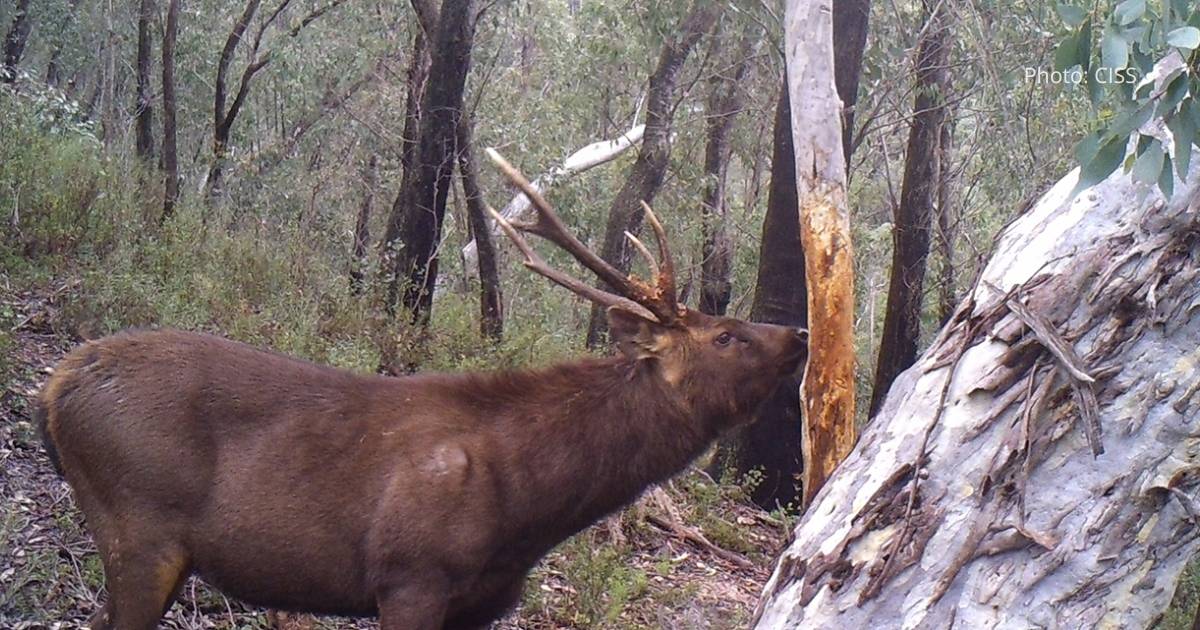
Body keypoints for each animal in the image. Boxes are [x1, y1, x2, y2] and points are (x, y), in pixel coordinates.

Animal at [36, 149, 809, 630]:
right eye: (725, 336)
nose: (799, 332)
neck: (531, 508)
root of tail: (56, 385)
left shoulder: (481, 604)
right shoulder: (410, 576)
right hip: (137, 524)